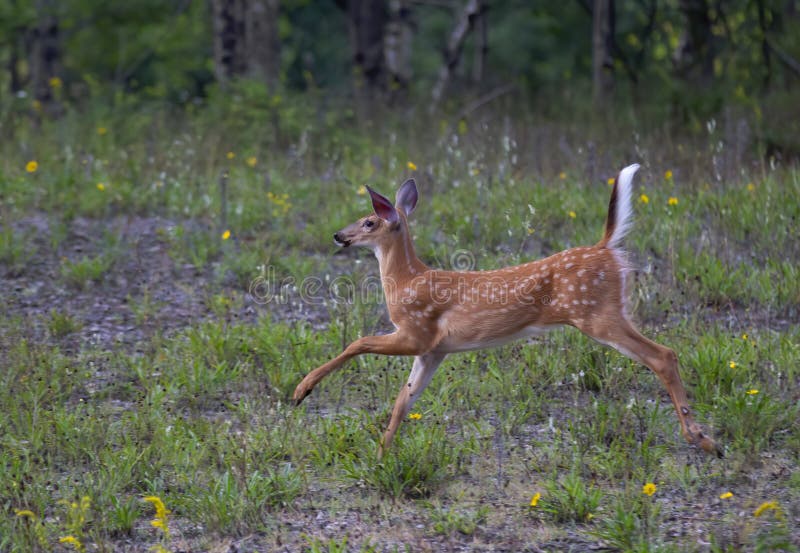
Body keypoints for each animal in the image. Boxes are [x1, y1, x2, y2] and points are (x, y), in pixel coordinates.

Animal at [293, 164, 721, 457]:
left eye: (369, 221)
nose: (338, 235)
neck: (406, 281)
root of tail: (606, 248)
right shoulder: (435, 351)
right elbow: (403, 401)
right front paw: (382, 454)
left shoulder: (417, 331)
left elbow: (359, 342)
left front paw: (302, 390)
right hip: (607, 311)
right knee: (665, 353)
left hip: (598, 314)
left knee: (664, 354)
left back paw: (702, 439)